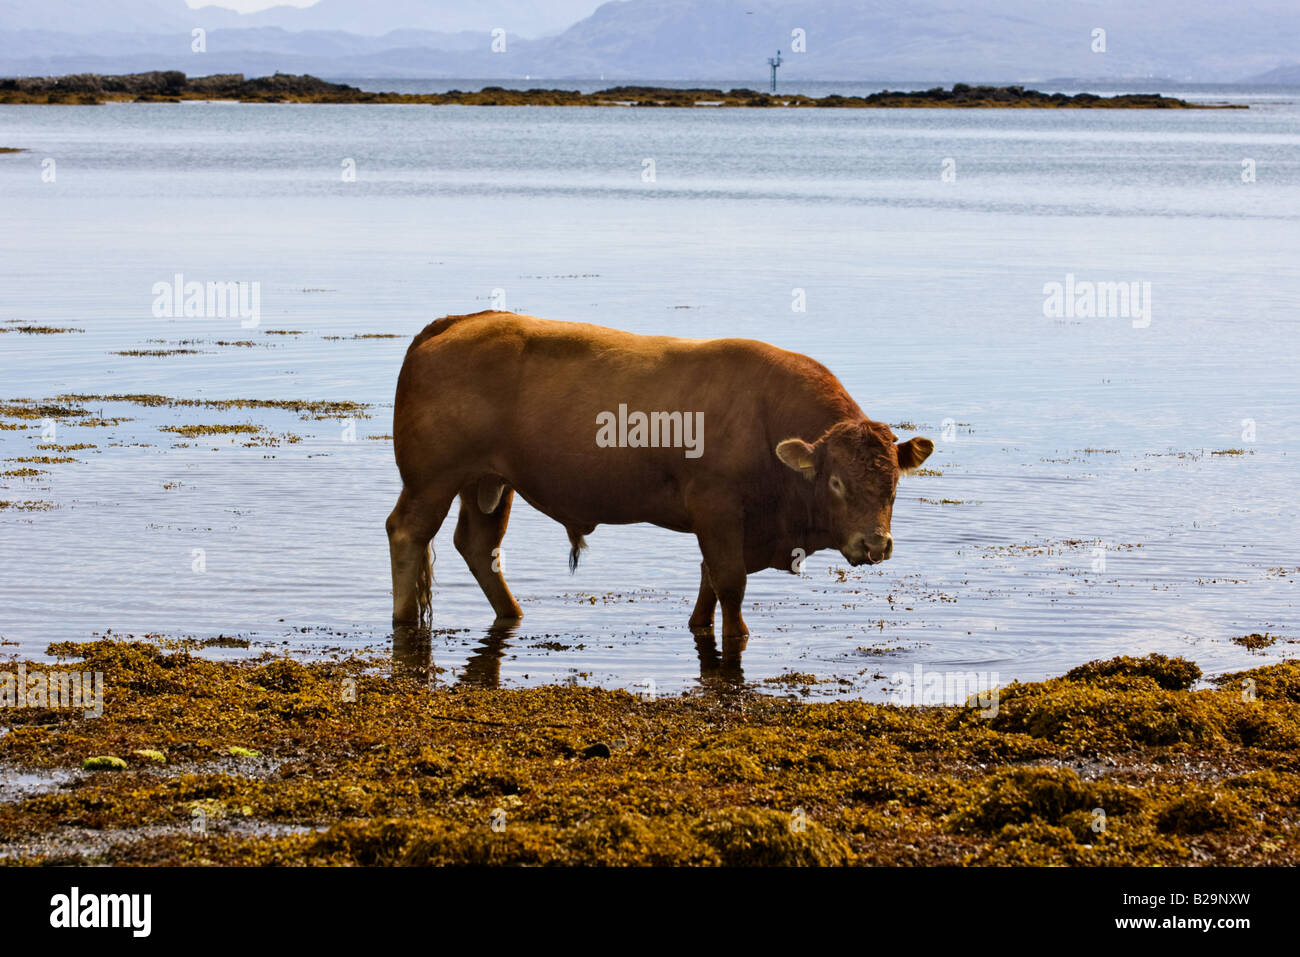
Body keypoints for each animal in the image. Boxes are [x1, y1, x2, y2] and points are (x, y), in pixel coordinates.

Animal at [387, 311, 933, 641]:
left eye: (894, 484)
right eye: (837, 482)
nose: (874, 544)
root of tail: (457, 322)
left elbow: (710, 578)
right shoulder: (716, 507)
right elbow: (729, 580)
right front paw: (738, 635)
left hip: (490, 483)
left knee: (479, 546)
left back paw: (512, 613)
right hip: (431, 479)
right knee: (407, 532)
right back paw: (403, 618)